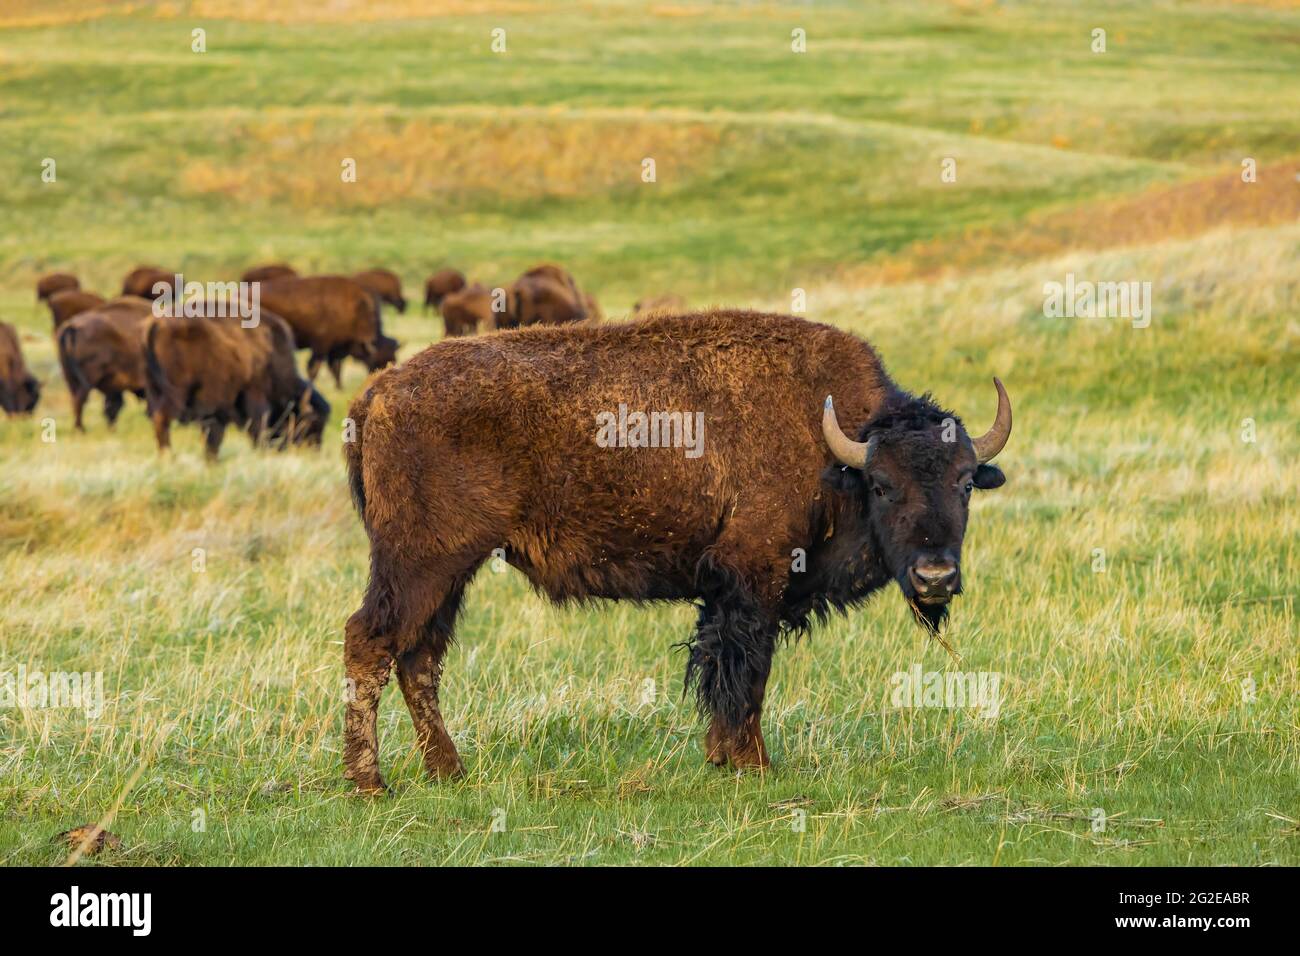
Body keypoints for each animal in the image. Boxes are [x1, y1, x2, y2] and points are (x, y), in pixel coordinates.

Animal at [142, 310, 329, 460]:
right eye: (312, 424)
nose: (315, 452)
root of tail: (157, 324)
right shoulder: (253, 396)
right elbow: (255, 425)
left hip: (155, 391)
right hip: (176, 392)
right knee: (162, 419)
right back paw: (168, 456)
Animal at [256, 275, 399, 387]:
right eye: (378, 360)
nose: (379, 377)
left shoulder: (336, 348)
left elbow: (335, 368)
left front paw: (339, 387)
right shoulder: (321, 346)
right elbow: (315, 369)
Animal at [339, 310, 1012, 792]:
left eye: (965, 482)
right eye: (881, 484)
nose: (934, 576)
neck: (832, 444)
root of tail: (377, 394)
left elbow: (728, 664)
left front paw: (723, 755)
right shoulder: (753, 574)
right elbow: (746, 667)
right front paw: (752, 763)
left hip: (449, 573)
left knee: (419, 657)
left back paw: (448, 772)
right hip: (422, 564)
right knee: (371, 641)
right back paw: (371, 784)